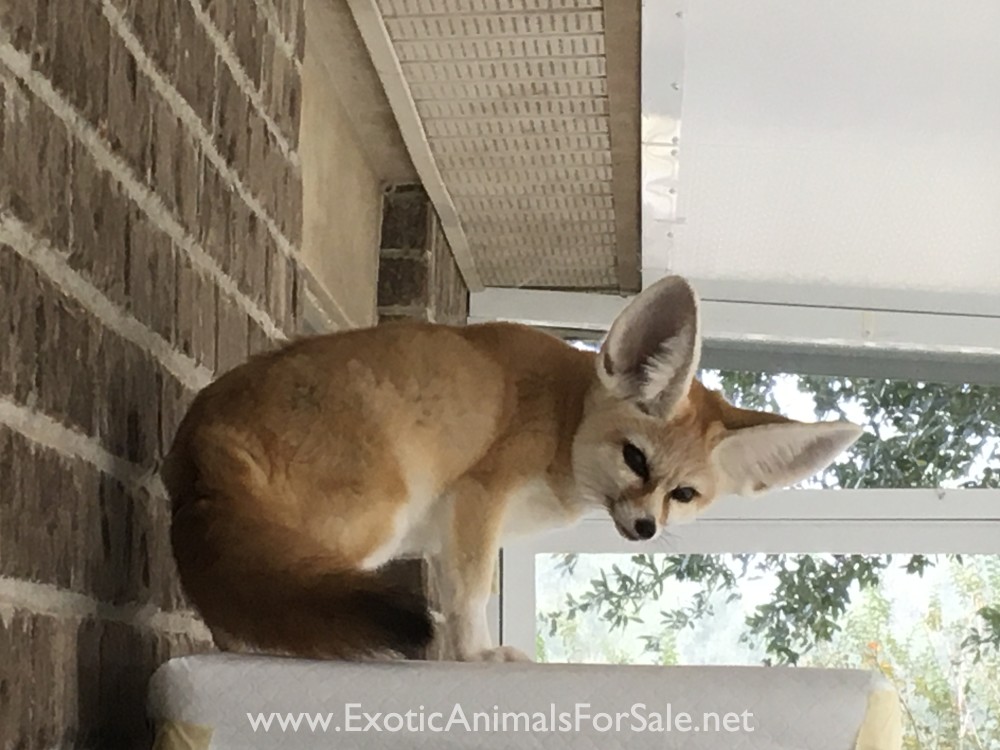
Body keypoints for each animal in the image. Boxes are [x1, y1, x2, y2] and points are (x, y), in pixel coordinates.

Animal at [162, 275, 862, 663]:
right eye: (635, 458)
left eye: (683, 494)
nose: (645, 529)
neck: (564, 417)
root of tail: (201, 434)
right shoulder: (479, 499)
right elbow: (472, 596)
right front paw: (477, 656)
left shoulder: (448, 533)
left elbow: (457, 596)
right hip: (373, 519)